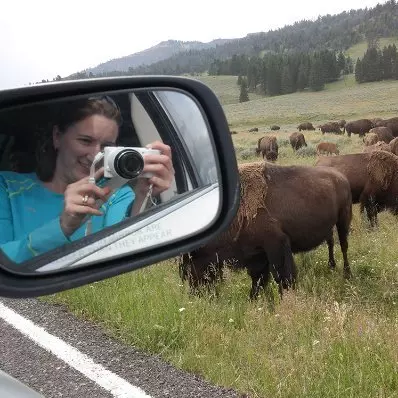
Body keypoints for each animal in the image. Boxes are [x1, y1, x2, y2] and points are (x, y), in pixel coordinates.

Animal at [177, 161, 352, 298]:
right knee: (332, 242)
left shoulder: (276, 245)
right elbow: (258, 280)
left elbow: (282, 277)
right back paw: (332, 267)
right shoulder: (257, 254)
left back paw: (347, 274)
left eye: (190, 264)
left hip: (343, 220)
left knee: (344, 246)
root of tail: (340, 177)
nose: (195, 294)